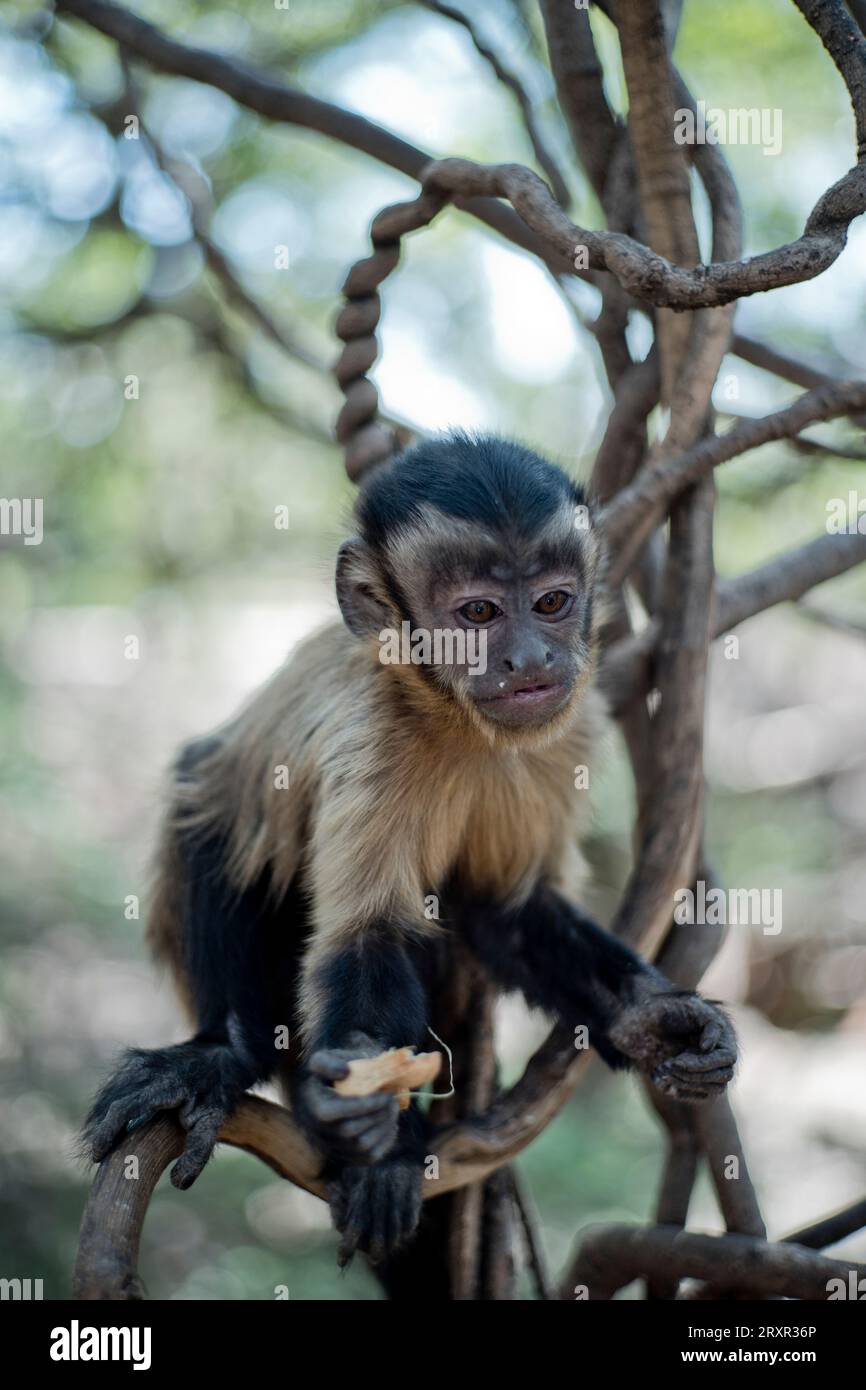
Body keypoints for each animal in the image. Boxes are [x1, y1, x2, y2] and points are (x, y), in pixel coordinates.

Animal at [84, 431, 737, 1267]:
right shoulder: (375, 730)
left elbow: (506, 907)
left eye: (552, 603)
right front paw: (368, 1118)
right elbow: (369, 935)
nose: (532, 660)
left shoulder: (571, 724)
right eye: (480, 613)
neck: (456, 716)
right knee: (223, 824)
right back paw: (227, 1056)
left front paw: (654, 1023)